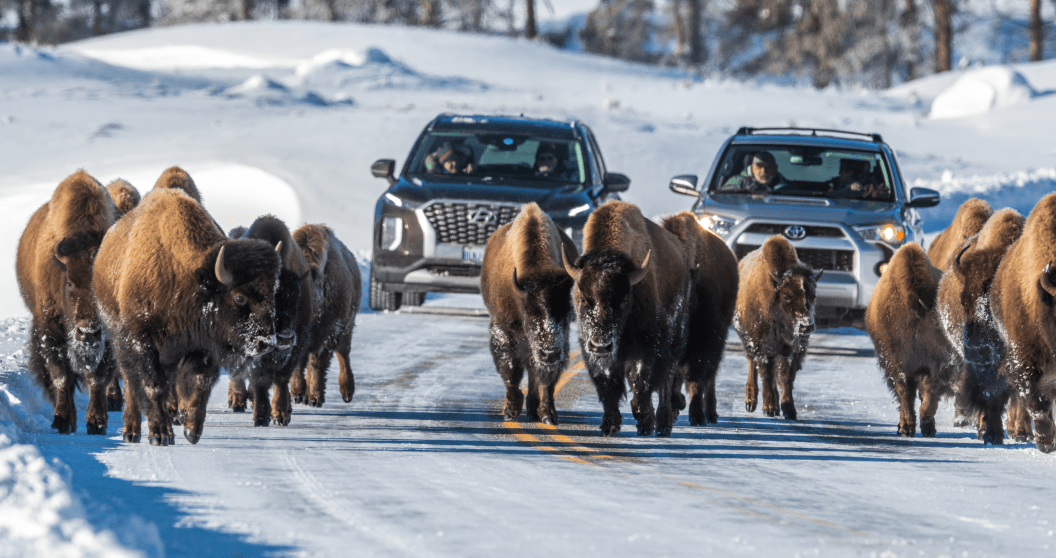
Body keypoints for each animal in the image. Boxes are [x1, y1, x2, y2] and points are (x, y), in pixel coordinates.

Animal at [16, 170, 121, 434]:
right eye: (70, 283)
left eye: (103, 283)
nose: (88, 332)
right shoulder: (50, 331)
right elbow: (60, 375)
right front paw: (63, 420)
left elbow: (98, 378)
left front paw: (96, 422)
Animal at [481, 202, 576, 424]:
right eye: (531, 312)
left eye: (566, 312)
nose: (549, 353)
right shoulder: (503, 328)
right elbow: (511, 370)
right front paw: (511, 411)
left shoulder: (560, 339)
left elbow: (547, 377)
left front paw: (548, 415)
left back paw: (534, 409)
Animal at [562, 201, 691, 437]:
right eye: (584, 299)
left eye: (623, 301)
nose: (601, 345)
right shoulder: (594, 352)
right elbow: (608, 384)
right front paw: (609, 426)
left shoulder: (647, 346)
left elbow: (640, 379)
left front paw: (642, 418)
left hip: (675, 339)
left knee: (666, 378)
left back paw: (663, 424)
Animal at [661, 211, 739, 426]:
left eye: (681, 298)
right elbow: (674, 377)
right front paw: (675, 406)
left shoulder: (706, 341)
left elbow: (696, 379)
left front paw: (695, 415)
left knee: (709, 377)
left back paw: (709, 414)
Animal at [735, 236, 821, 420]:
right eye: (787, 296)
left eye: (813, 295)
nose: (806, 326)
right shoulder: (759, 345)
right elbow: (766, 373)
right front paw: (768, 408)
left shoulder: (791, 349)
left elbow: (785, 376)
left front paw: (789, 409)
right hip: (748, 341)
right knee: (752, 366)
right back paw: (751, 402)